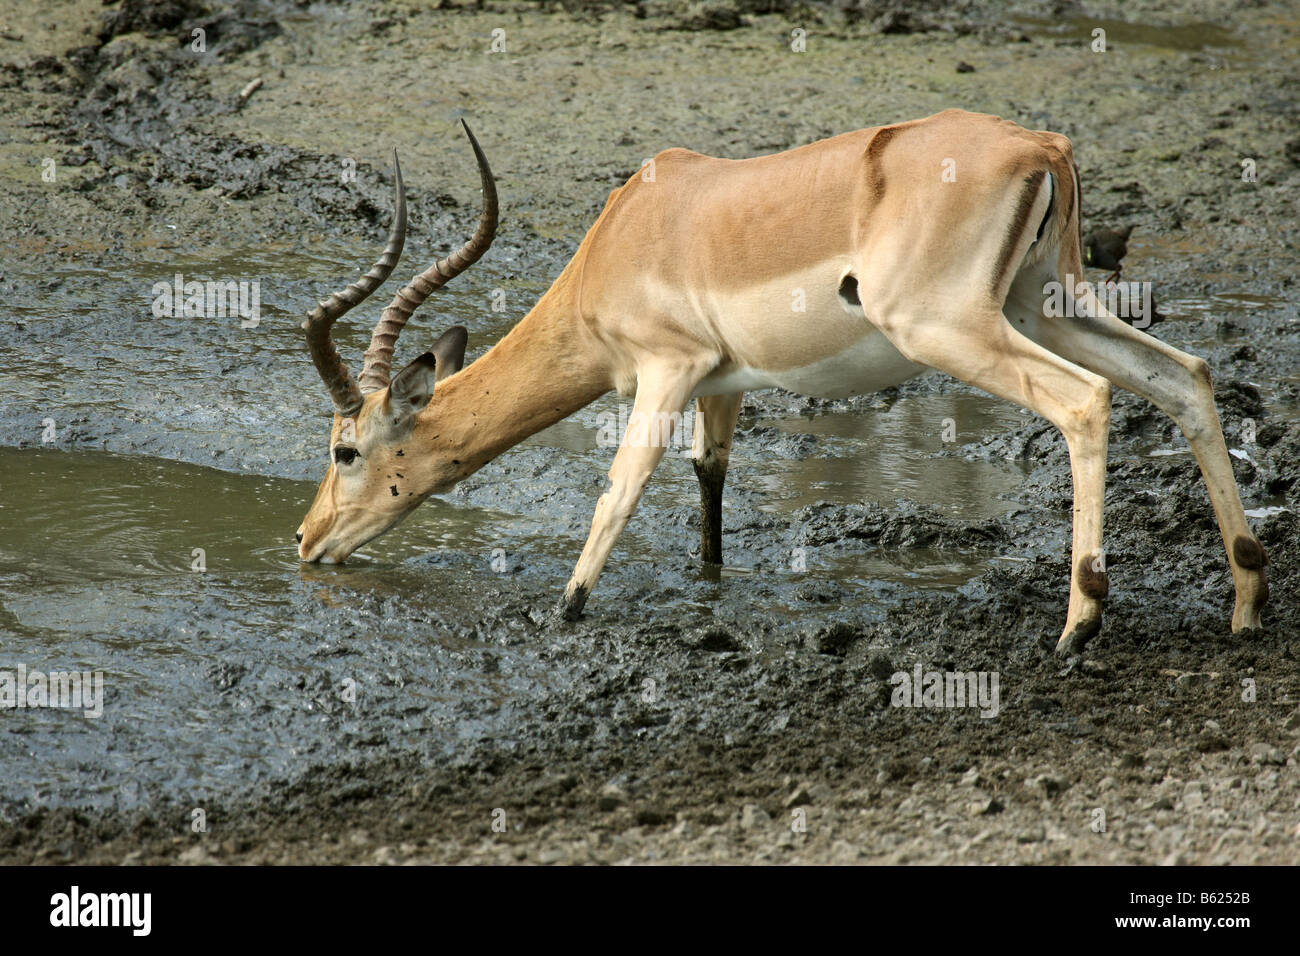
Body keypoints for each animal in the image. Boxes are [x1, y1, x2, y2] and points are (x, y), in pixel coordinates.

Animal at [296, 112, 1268, 655]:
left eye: (346, 450)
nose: (306, 542)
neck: (632, 231)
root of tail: (1042, 145)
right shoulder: (724, 381)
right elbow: (710, 478)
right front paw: (709, 586)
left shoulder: (666, 369)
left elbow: (620, 489)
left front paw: (565, 610)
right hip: (1047, 305)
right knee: (1186, 377)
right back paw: (1246, 605)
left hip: (957, 330)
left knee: (1085, 402)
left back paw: (1077, 629)